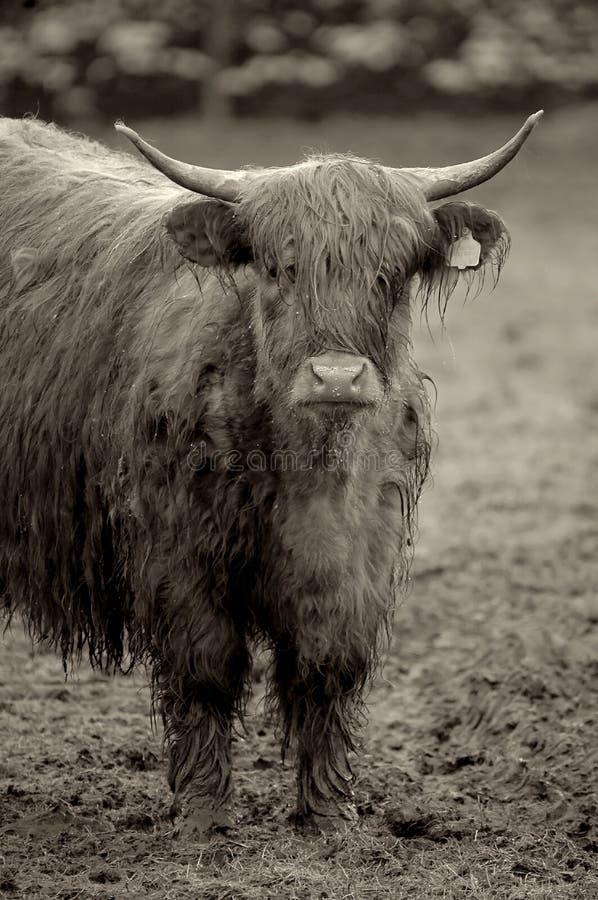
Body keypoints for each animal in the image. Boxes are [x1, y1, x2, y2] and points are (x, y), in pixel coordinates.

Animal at [0, 111, 542, 835]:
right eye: (281, 268)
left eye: (391, 274)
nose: (337, 376)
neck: (306, 469)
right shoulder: (178, 555)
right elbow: (206, 670)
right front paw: (203, 814)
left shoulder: (357, 555)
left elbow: (326, 668)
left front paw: (331, 817)